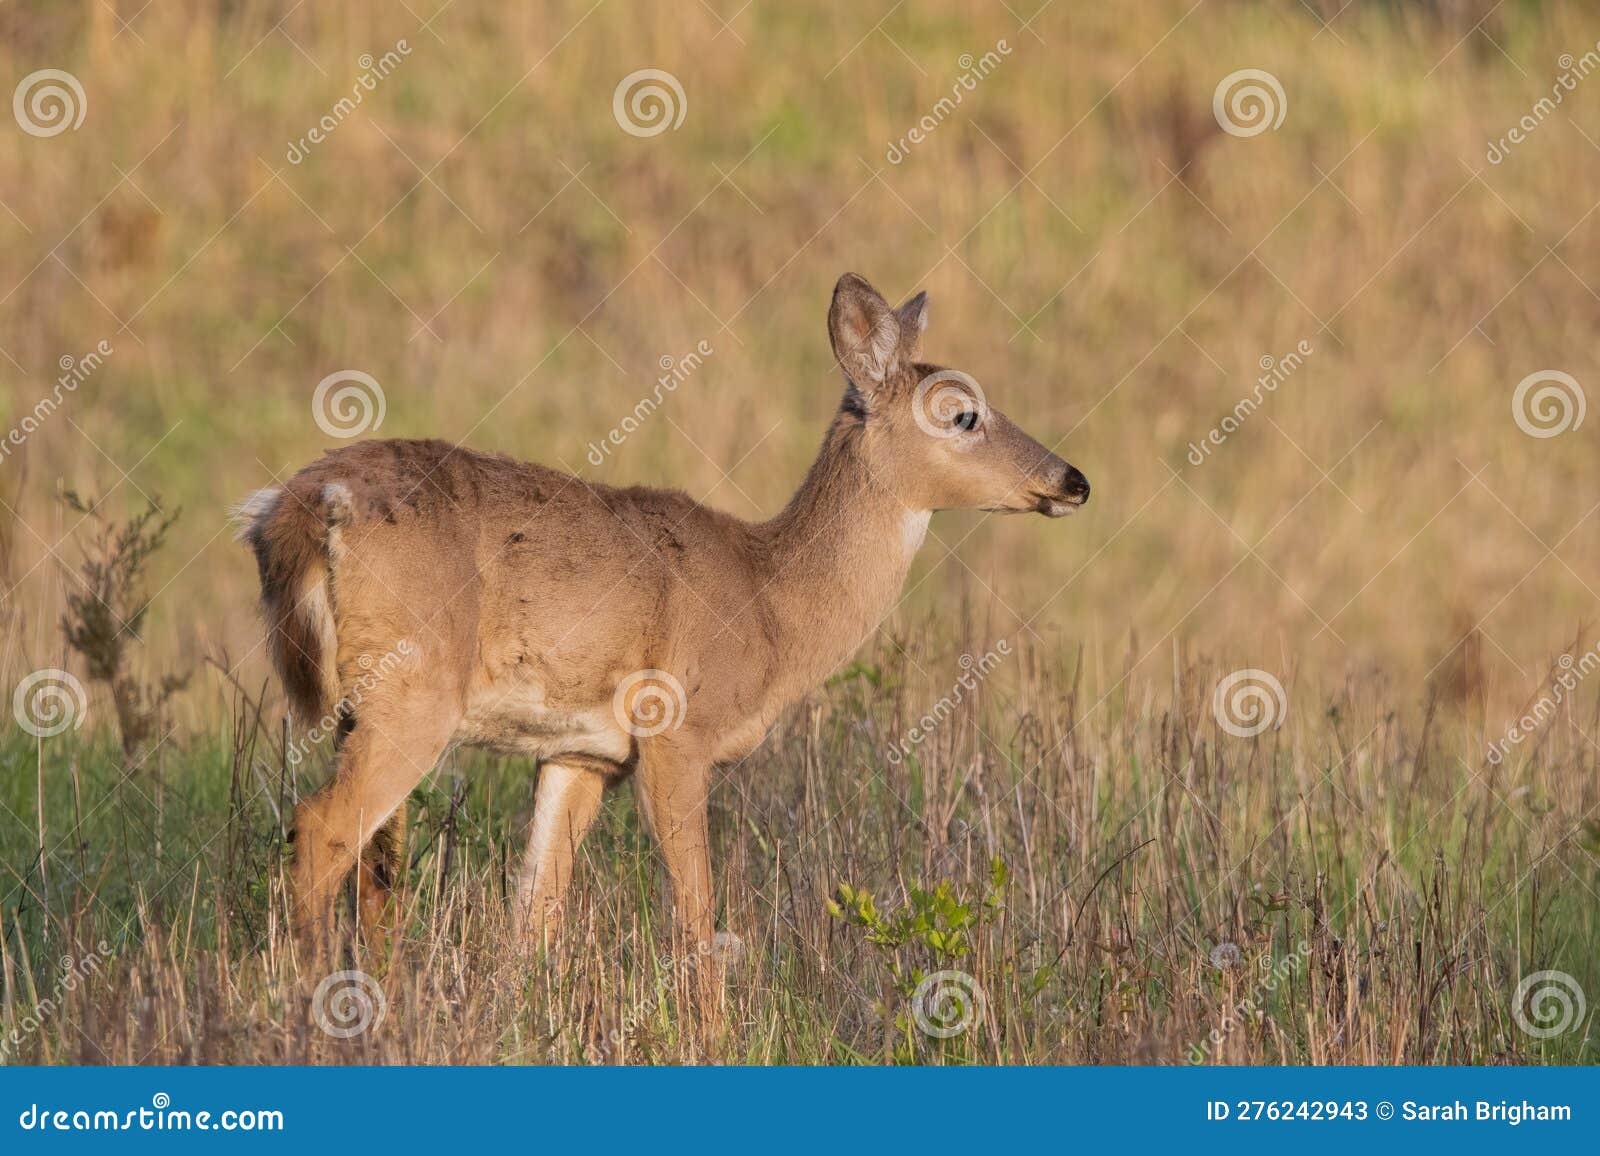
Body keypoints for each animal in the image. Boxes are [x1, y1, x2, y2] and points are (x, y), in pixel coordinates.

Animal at [236, 273, 1090, 966]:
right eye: (963, 414)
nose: (1072, 479)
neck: (772, 601)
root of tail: (303, 502)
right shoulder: (677, 732)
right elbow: (697, 920)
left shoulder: (583, 754)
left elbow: (535, 912)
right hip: (411, 691)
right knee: (321, 830)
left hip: (363, 705)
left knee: (372, 864)